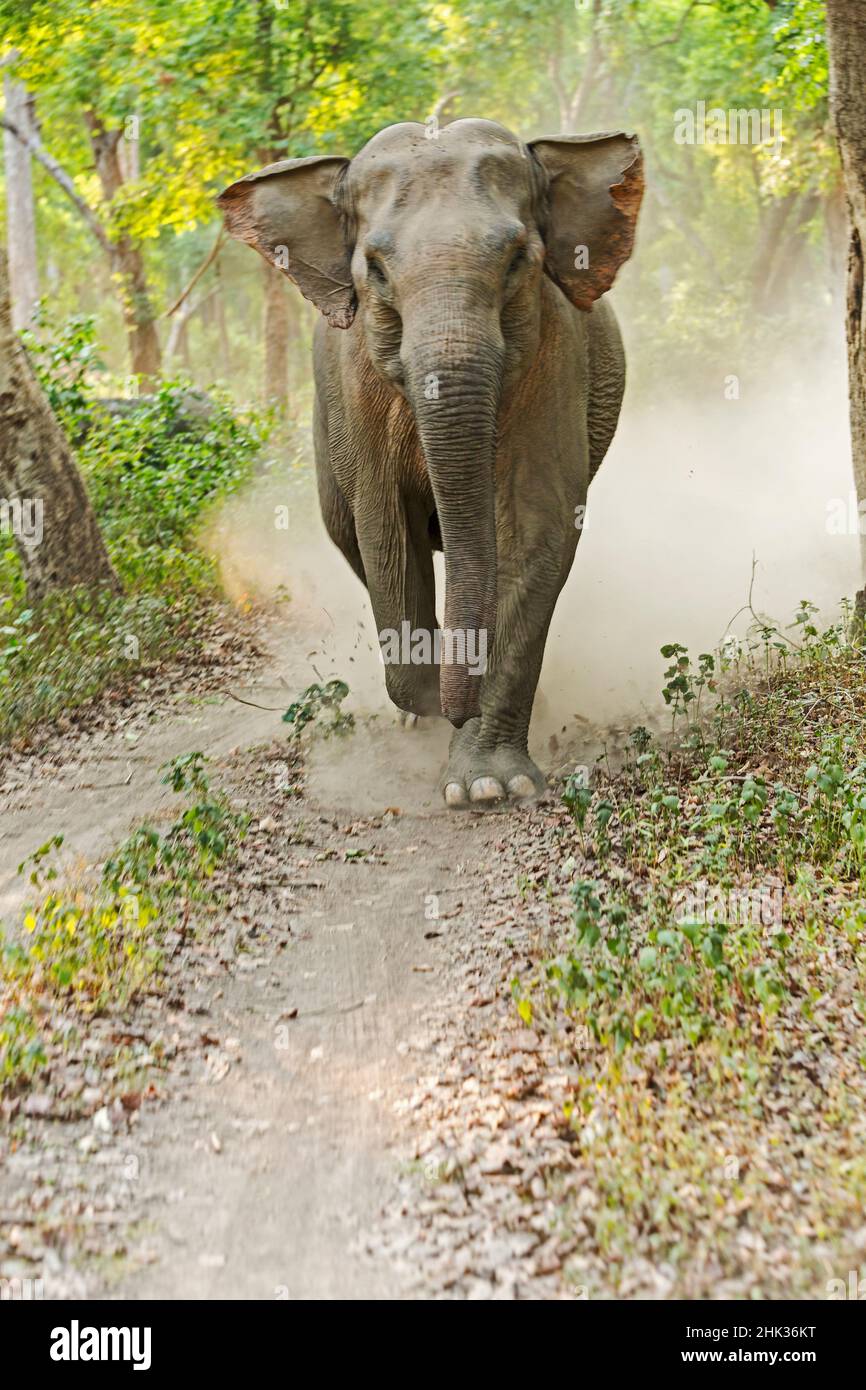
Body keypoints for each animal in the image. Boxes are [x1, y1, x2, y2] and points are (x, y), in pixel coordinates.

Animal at [218, 118, 643, 807]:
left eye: (518, 260)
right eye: (375, 270)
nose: (455, 706)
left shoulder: (555, 357)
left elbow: (536, 527)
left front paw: (488, 787)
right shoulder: (357, 390)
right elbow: (385, 528)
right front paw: (427, 700)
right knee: (348, 535)